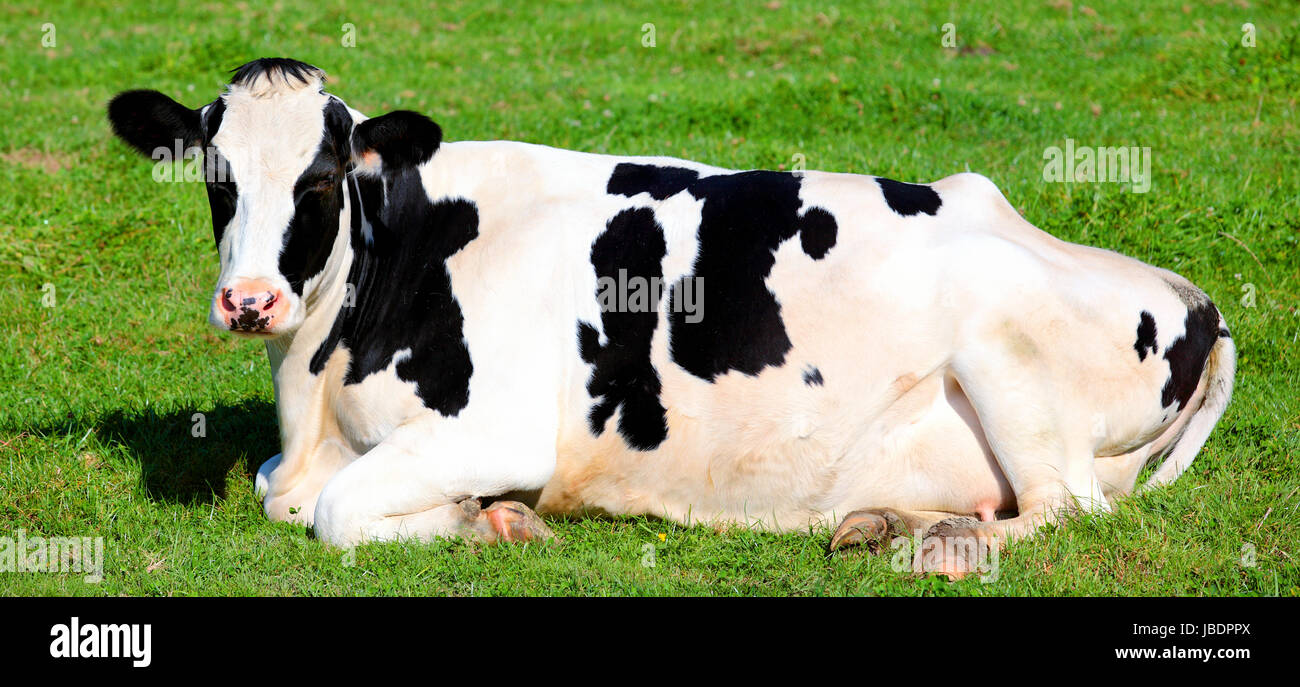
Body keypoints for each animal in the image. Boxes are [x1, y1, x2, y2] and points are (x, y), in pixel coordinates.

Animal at [107, 58, 1234, 574]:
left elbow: (333, 513)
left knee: (1065, 510)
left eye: (323, 174)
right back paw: (882, 522)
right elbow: (275, 490)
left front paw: (490, 519)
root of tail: (1190, 294)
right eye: (214, 172)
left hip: (1007, 359)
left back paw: (939, 545)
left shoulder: (498, 428)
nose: (250, 300)